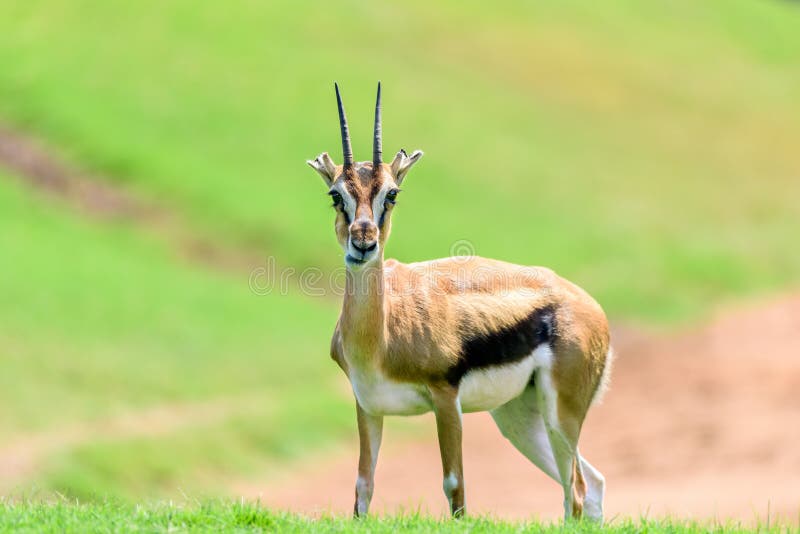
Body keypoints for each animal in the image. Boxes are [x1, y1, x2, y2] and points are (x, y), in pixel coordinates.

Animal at [307, 83, 612, 521]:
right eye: (336, 195)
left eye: (391, 194)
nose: (363, 242)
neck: (382, 337)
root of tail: (593, 309)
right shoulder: (368, 405)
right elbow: (363, 486)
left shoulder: (446, 401)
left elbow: (455, 487)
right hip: (518, 418)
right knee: (594, 485)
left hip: (560, 415)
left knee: (577, 489)